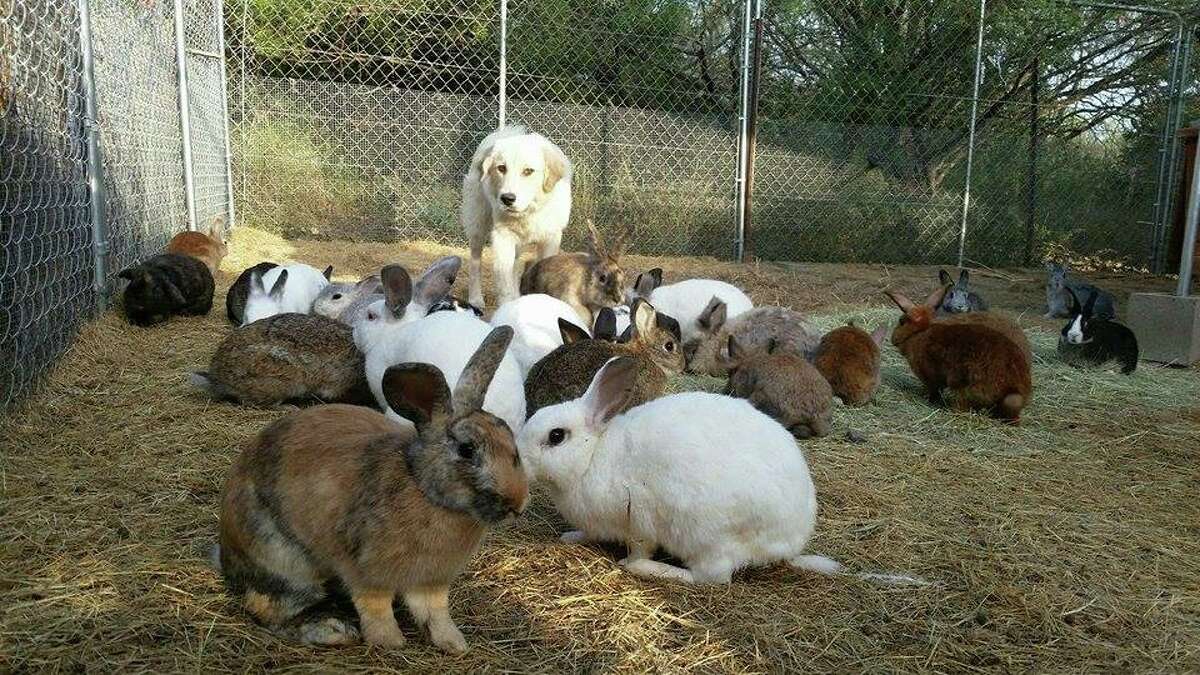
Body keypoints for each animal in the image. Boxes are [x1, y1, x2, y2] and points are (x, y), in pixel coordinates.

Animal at [215, 326, 527, 652]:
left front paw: (453, 643)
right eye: (466, 450)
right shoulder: (367, 573)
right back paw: (333, 630)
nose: (517, 503)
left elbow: (436, 613)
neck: (422, 488)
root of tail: (227, 556)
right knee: (266, 607)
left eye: (510, 441)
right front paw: (390, 642)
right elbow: (376, 608)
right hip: (286, 562)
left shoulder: (430, 582)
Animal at [516, 356, 838, 584]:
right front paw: (571, 537)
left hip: (710, 538)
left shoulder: (638, 520)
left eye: (556, 436)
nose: (519, 460)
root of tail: (790, 544)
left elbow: (639, 545)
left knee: (710, 578)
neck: (592, 456)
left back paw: (649, 569)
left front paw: (630, 562)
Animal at [886, 286, 1032, 423]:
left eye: (901, 321)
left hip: (963, 386)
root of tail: (1011, 389)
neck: (919, 332)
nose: (893, 339)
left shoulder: (929, 376)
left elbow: (934, 389)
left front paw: (930, 400)